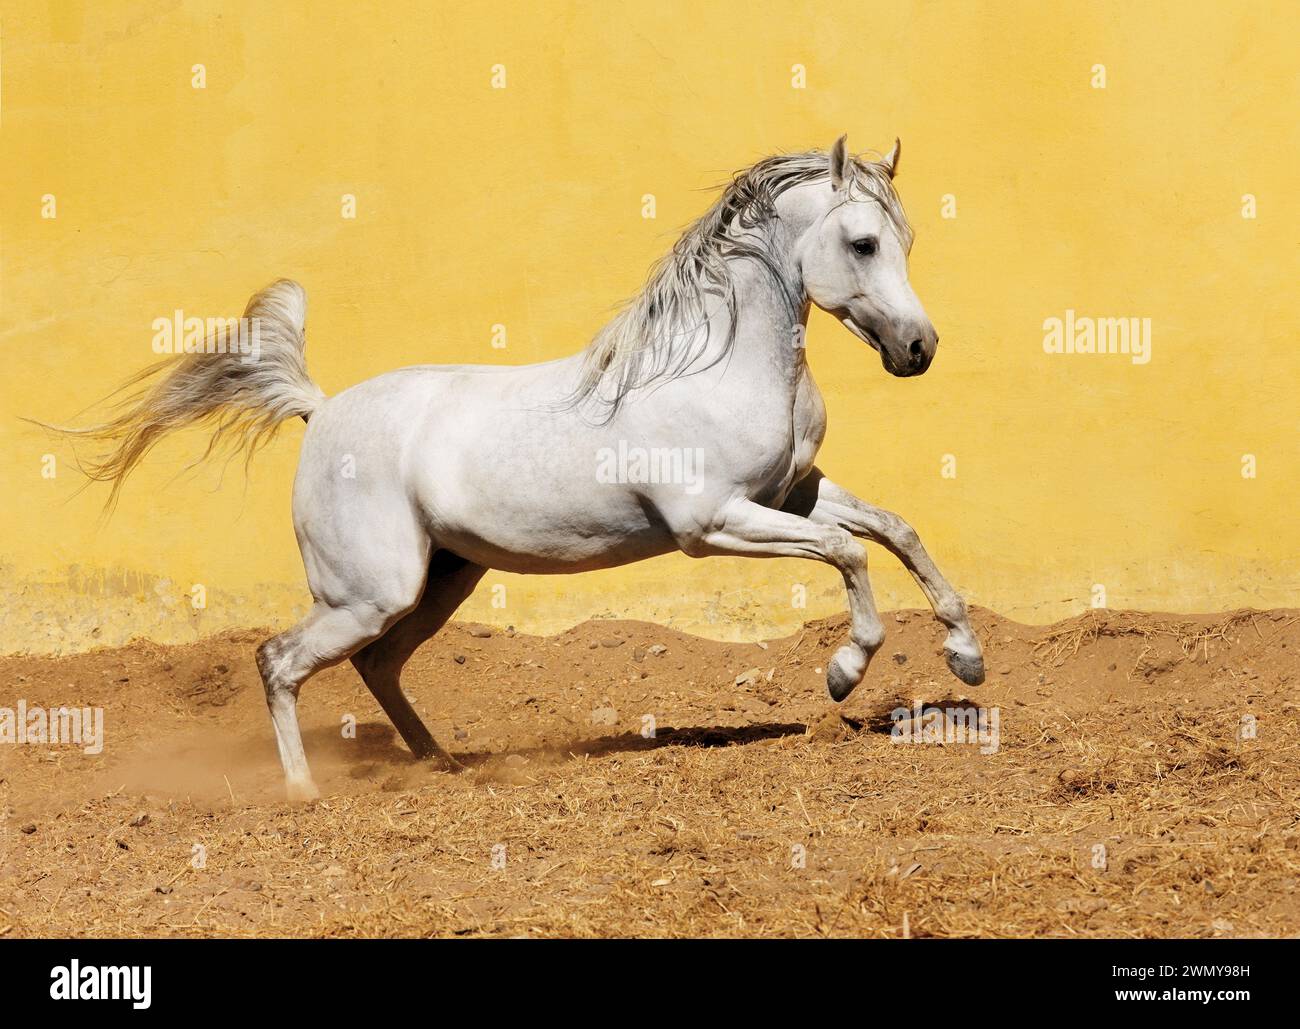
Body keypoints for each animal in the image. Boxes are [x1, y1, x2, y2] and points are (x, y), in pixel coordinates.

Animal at [43, 135, 985, 800]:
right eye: (861, 242)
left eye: (905, 237)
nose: (919, 348)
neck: (713, 363)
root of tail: (322, 409)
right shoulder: (714, 522)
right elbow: (849, 553)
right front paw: (843, 671)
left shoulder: (793, 491)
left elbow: (897, 531)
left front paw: (967, 656)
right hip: (369, 591)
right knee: (280, 660)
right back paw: (305, 790)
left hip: (441, 579)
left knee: (378, 666)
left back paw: (444, 763)